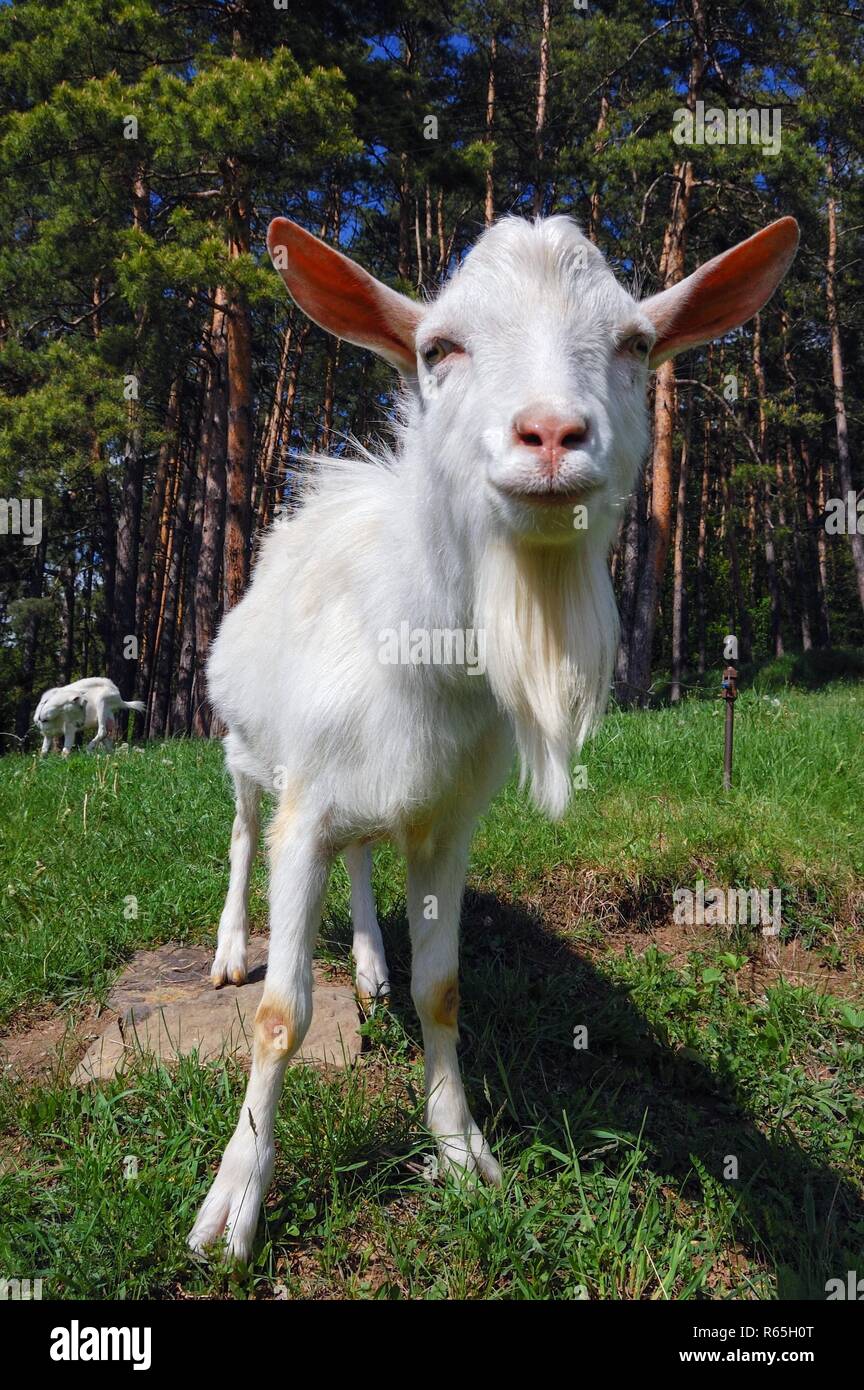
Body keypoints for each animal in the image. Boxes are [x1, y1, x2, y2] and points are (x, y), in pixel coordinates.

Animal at [189, 212, 798, 1261]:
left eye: (636, 343)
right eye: (440, 347)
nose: (551, 435)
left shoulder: (447, 818)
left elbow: (443, 990)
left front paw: (461, 1152)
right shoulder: (306, 806)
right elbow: (278, 1017)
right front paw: (236, 1199)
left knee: (362, 856)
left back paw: (370, 965)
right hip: (242, 747)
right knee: (238, 830)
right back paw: (233, 946)